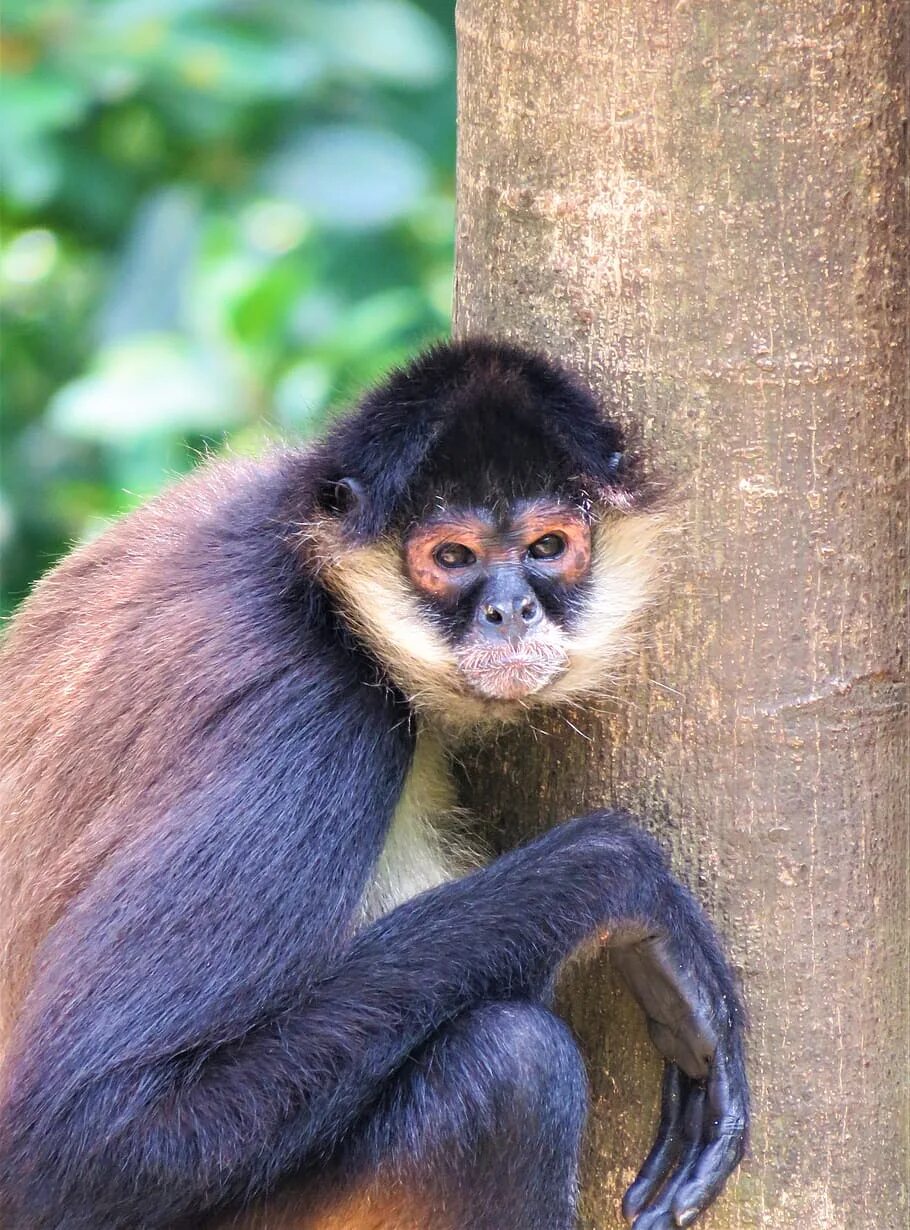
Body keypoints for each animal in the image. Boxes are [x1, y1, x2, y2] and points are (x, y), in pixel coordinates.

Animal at [0, 339, 748, 1230]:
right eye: (452, 558)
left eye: (546, 547)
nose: (510, 612)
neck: (314, 588)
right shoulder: (315, 709)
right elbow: (85, 1139)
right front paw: (615, 880)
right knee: (510, 1067)